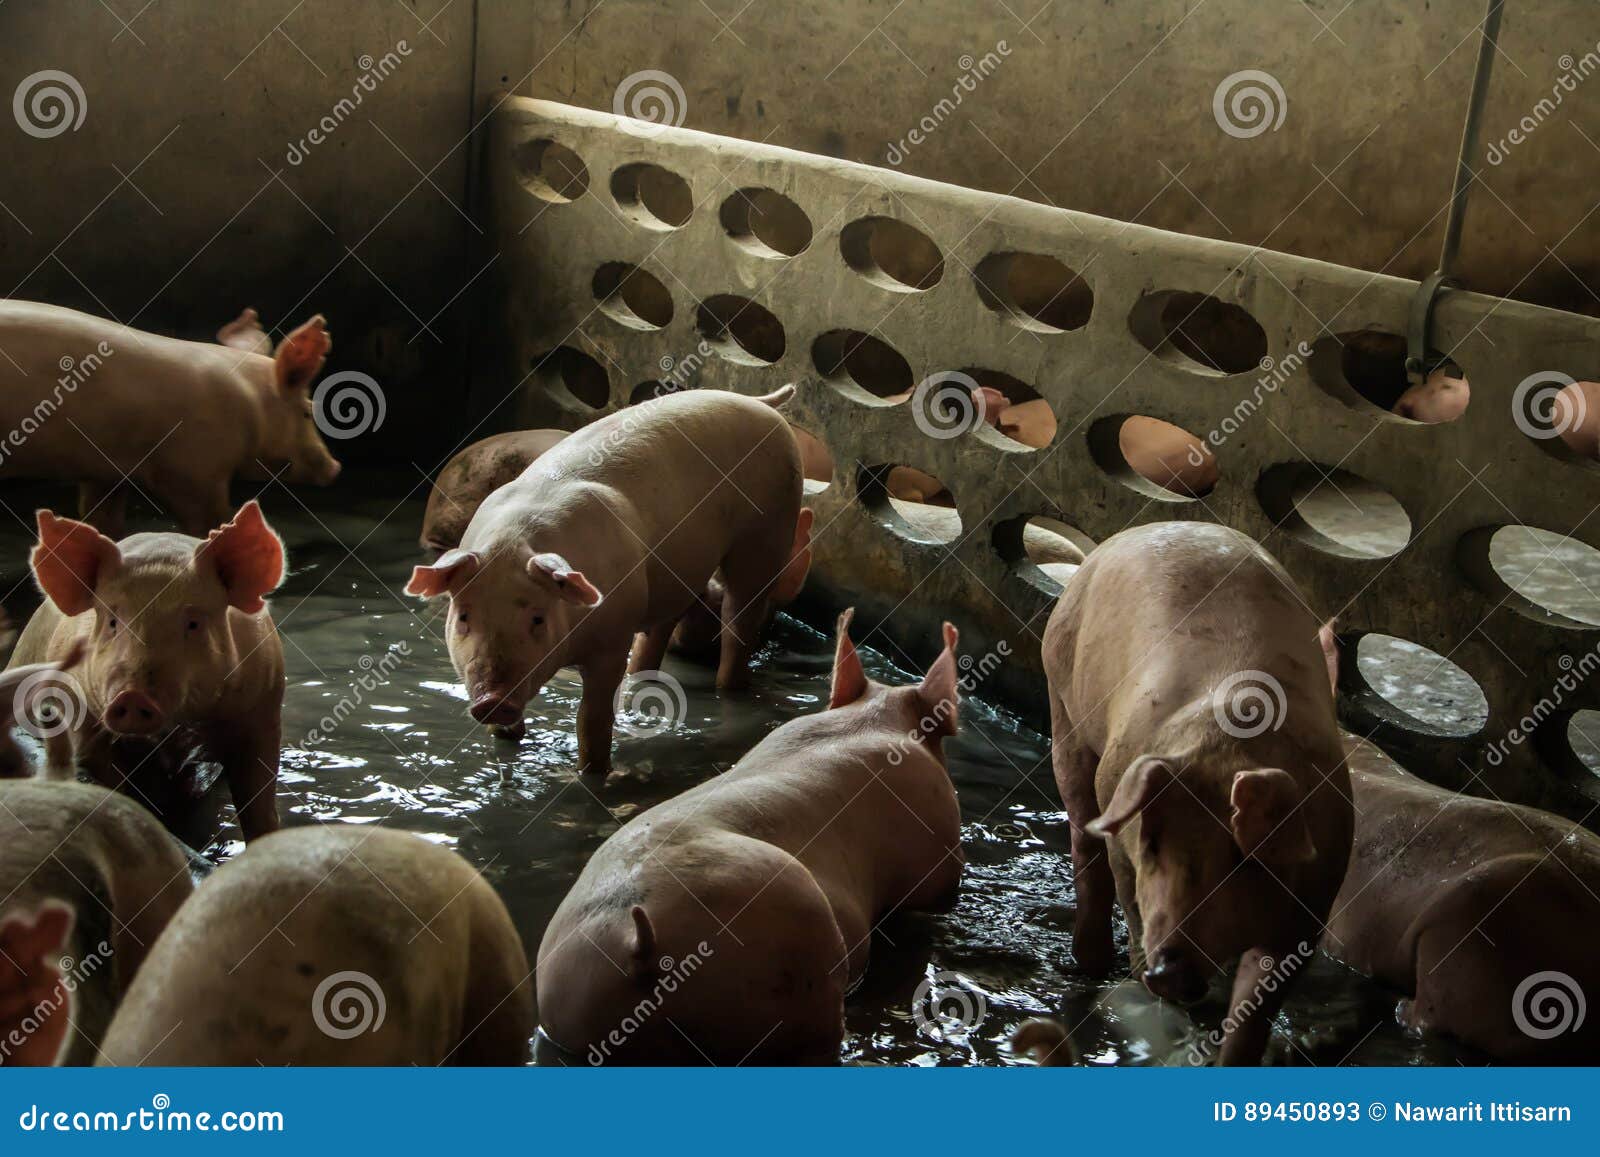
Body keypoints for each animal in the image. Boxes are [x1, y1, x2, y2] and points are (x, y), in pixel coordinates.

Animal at [0, 300, 341, 537]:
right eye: (307, 410)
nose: (335, 467)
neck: (250, 403)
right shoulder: (195, 470)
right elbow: (211, 521)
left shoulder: (108, 472)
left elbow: (102, 520)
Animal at [6, 500, 288, 841]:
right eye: (113, 621)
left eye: (193, 623)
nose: (132, 696)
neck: (173, 736)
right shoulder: (82, 723)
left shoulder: (263, 713)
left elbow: (259, 802)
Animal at [1043, 522, 1352, 1065]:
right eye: (1152, 844)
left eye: (1243, 858)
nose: (1170, 971)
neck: (1225, 753)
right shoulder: (1125, 830)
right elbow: (1129, 899)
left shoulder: (1312, 909)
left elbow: (1257, 1007)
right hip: (1063, 705)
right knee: (1085, 842)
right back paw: (1090, 963)